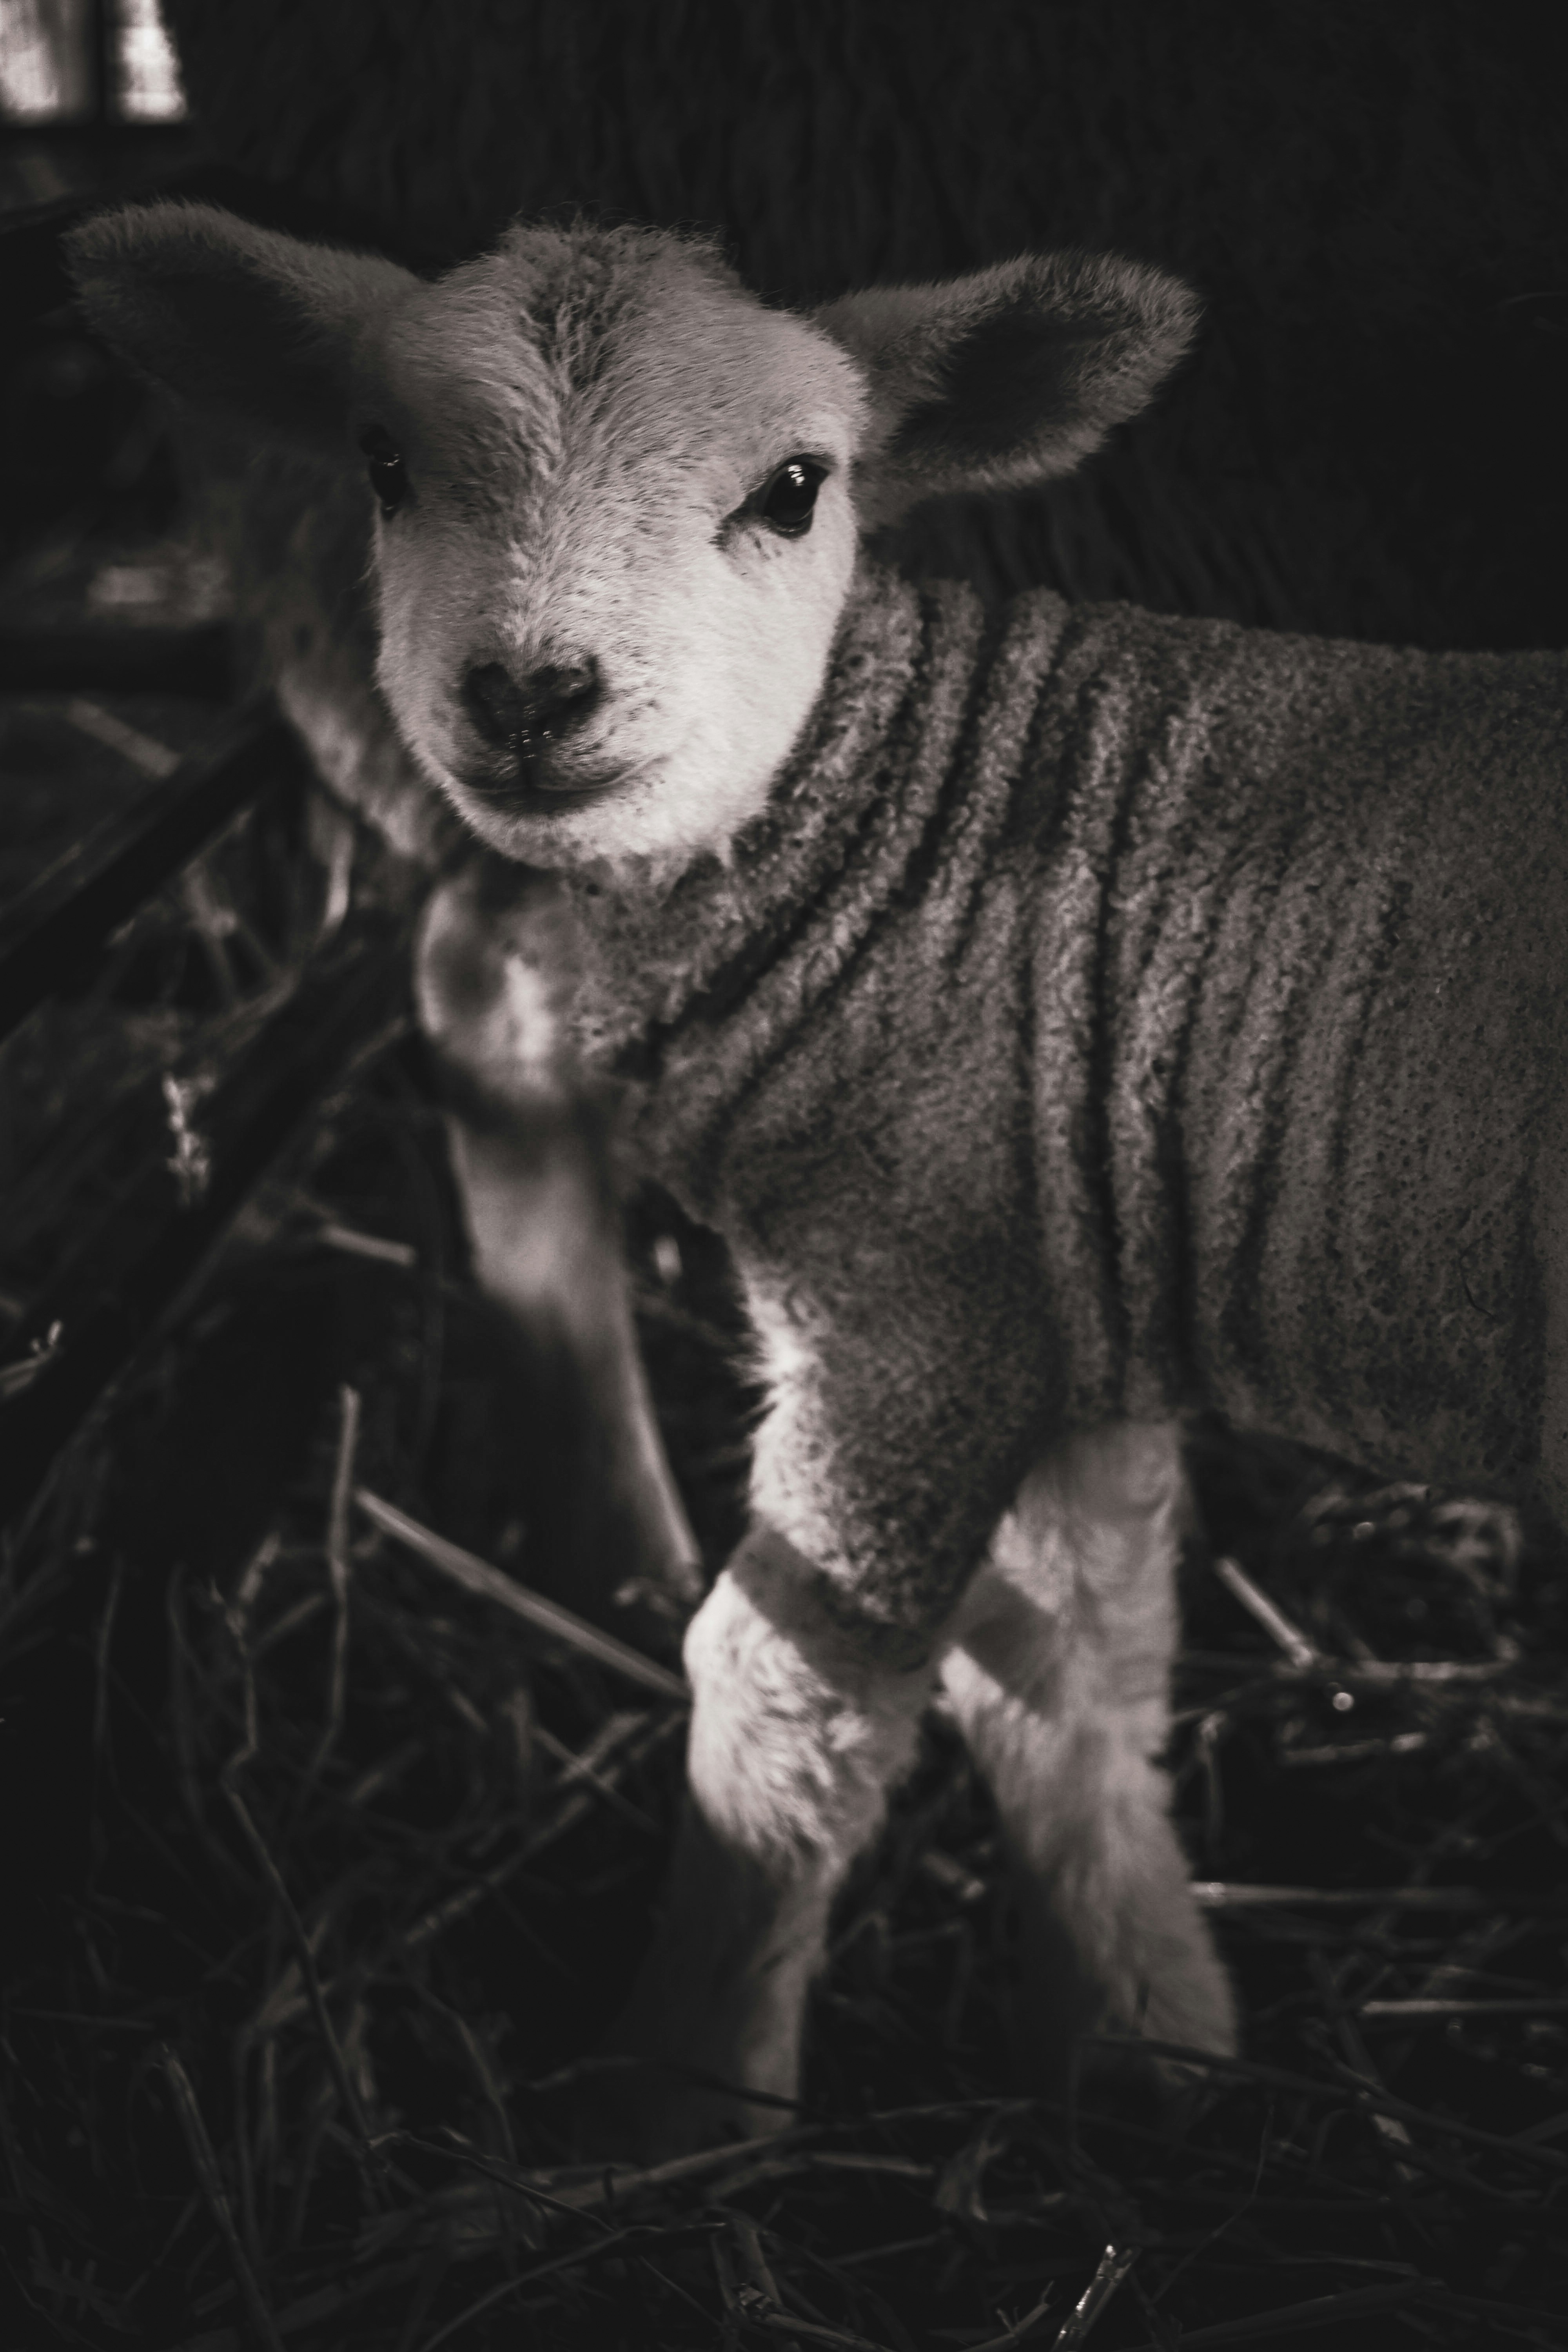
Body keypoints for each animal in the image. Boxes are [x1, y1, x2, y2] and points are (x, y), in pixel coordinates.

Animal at [67, 202, 1568, 2158]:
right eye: (383, 464)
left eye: (796, 488)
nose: (530, 691)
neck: (911, 811)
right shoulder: (1051, 1279)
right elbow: (1070, 1676)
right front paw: (1146, 2047)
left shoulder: (903, 1293)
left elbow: (789, 1689)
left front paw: (680, 2093)